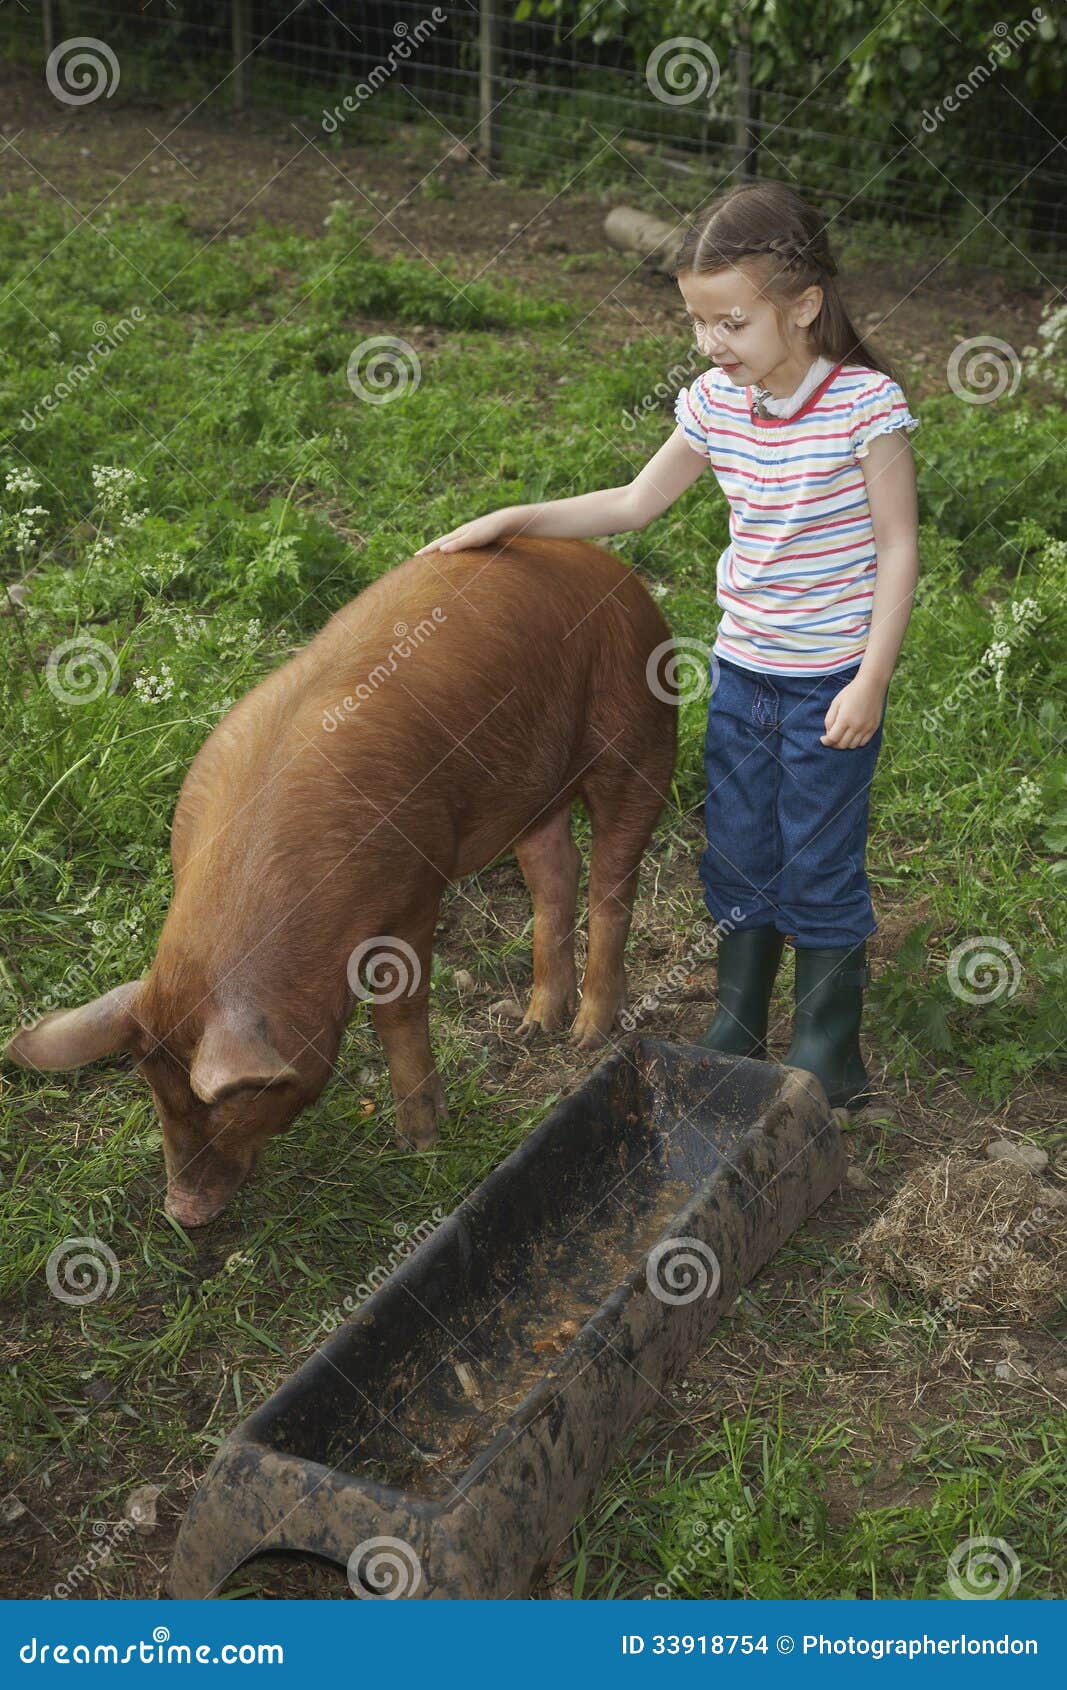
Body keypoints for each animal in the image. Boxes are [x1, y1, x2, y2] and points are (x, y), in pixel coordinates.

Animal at [6, 537, 676, 1226]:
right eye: (157, 1093)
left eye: (229, 1102)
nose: (182, 1212)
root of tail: (611, 568)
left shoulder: (417, 882)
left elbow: (397, 1011)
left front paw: (421, 1142)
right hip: (534, 792)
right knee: (555, 869)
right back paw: (535, 1025)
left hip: (639, 738)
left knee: (611, 882)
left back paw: (586, 1037)